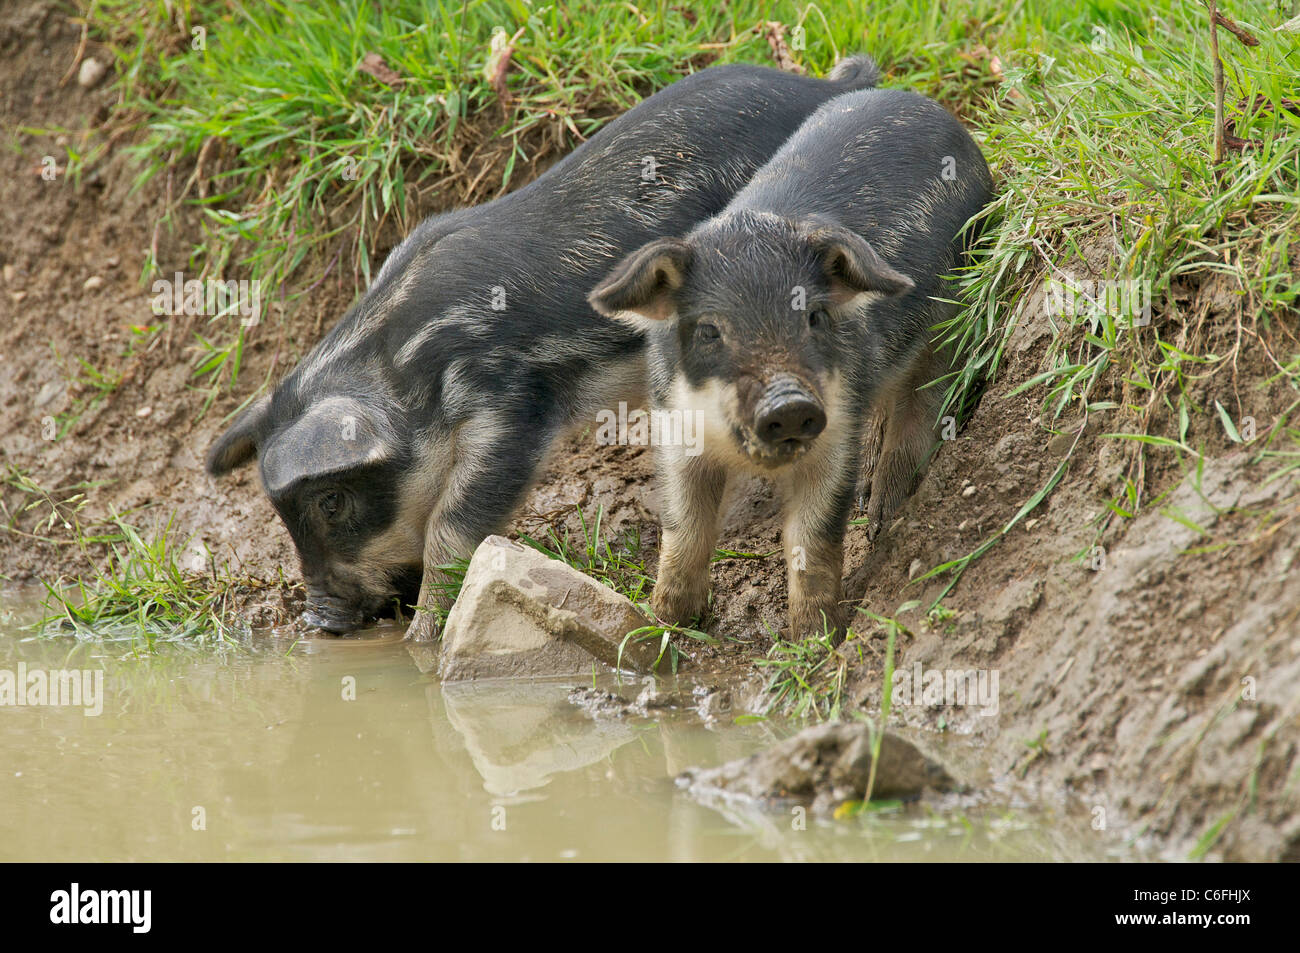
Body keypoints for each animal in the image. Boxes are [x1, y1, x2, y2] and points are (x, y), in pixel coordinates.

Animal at [205, 55, 882, 638]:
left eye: (332, 501)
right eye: (282, 515)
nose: (318, 620)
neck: (408, 364)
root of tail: (829, 84)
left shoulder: (508, 399)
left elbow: (454, 524)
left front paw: (422, 640)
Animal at [587, 87, 994, 640]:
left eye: (815, 316)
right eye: (709, 330)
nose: (789, 401)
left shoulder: (836, 425)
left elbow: (813, 535)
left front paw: (817, 640)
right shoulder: (674, 425)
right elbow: (684, 528)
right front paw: (664, 624)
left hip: (954, 315)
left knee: (923, 409)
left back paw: (883, 515)